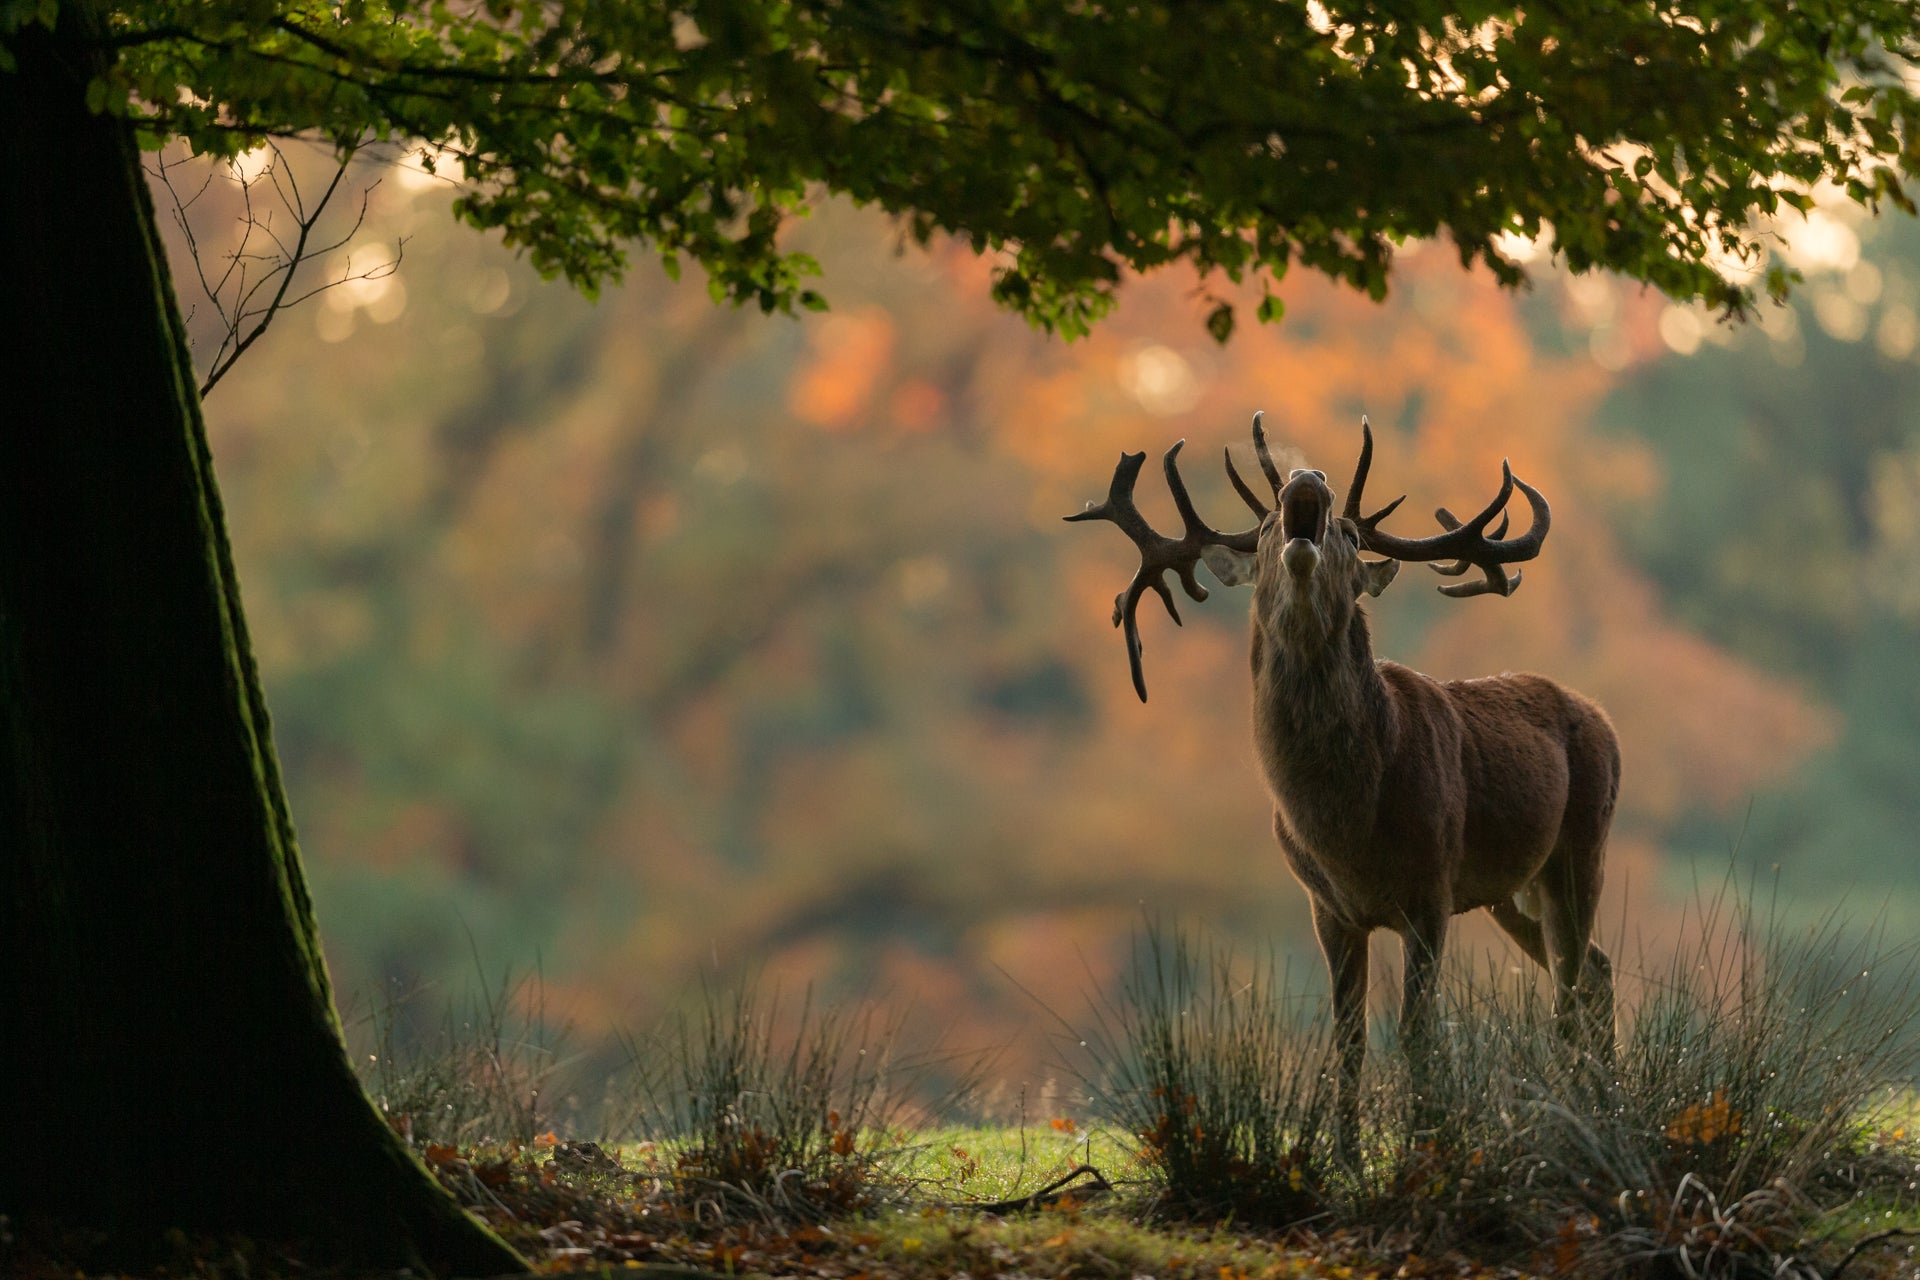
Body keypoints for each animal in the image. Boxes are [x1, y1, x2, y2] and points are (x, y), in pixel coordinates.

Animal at [1069, 414, 1619, 1150]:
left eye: (1354, 536)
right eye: (1265, 526)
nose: (1309, 478)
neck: (1349, 825)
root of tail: (1601, 715)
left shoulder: (1431, 889)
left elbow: (1418, 1035)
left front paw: (1422, 1147)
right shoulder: (1328, 907)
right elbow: (1348, 1041)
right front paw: (1346, 1157)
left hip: (1583, 846)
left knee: (1570, 987)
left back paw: (1588, 1113)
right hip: (1512, 891)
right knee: (1594, 971)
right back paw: (1604, 1104)